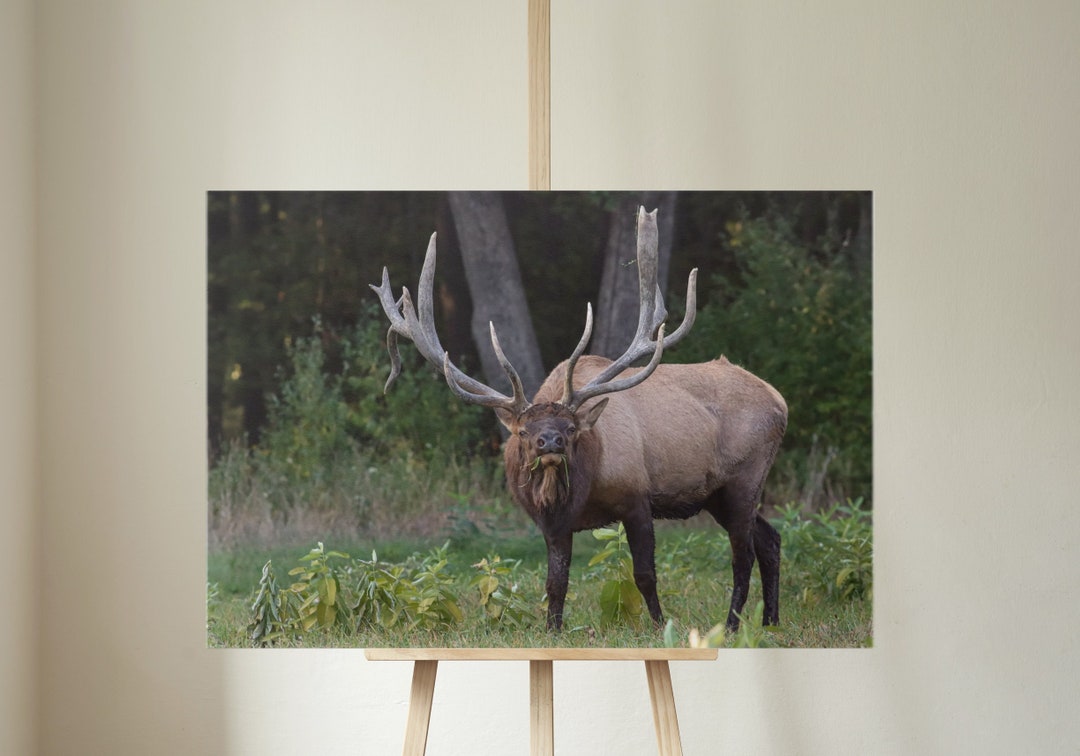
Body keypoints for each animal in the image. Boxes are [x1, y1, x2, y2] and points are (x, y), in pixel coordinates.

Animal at [371, 207, 787, 632]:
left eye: (571, 429)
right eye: (524, 431)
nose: (550, 442)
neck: (585, 481)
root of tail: (779, 399)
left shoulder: (637, 497)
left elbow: (644, 575)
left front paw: (659, 625)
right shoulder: (552, 524)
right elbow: (556, 583)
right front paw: (552, 630)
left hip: (744, 477)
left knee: (742, 555)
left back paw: (733, 624)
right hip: (716, 494)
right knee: (770, 538)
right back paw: (770, 620)